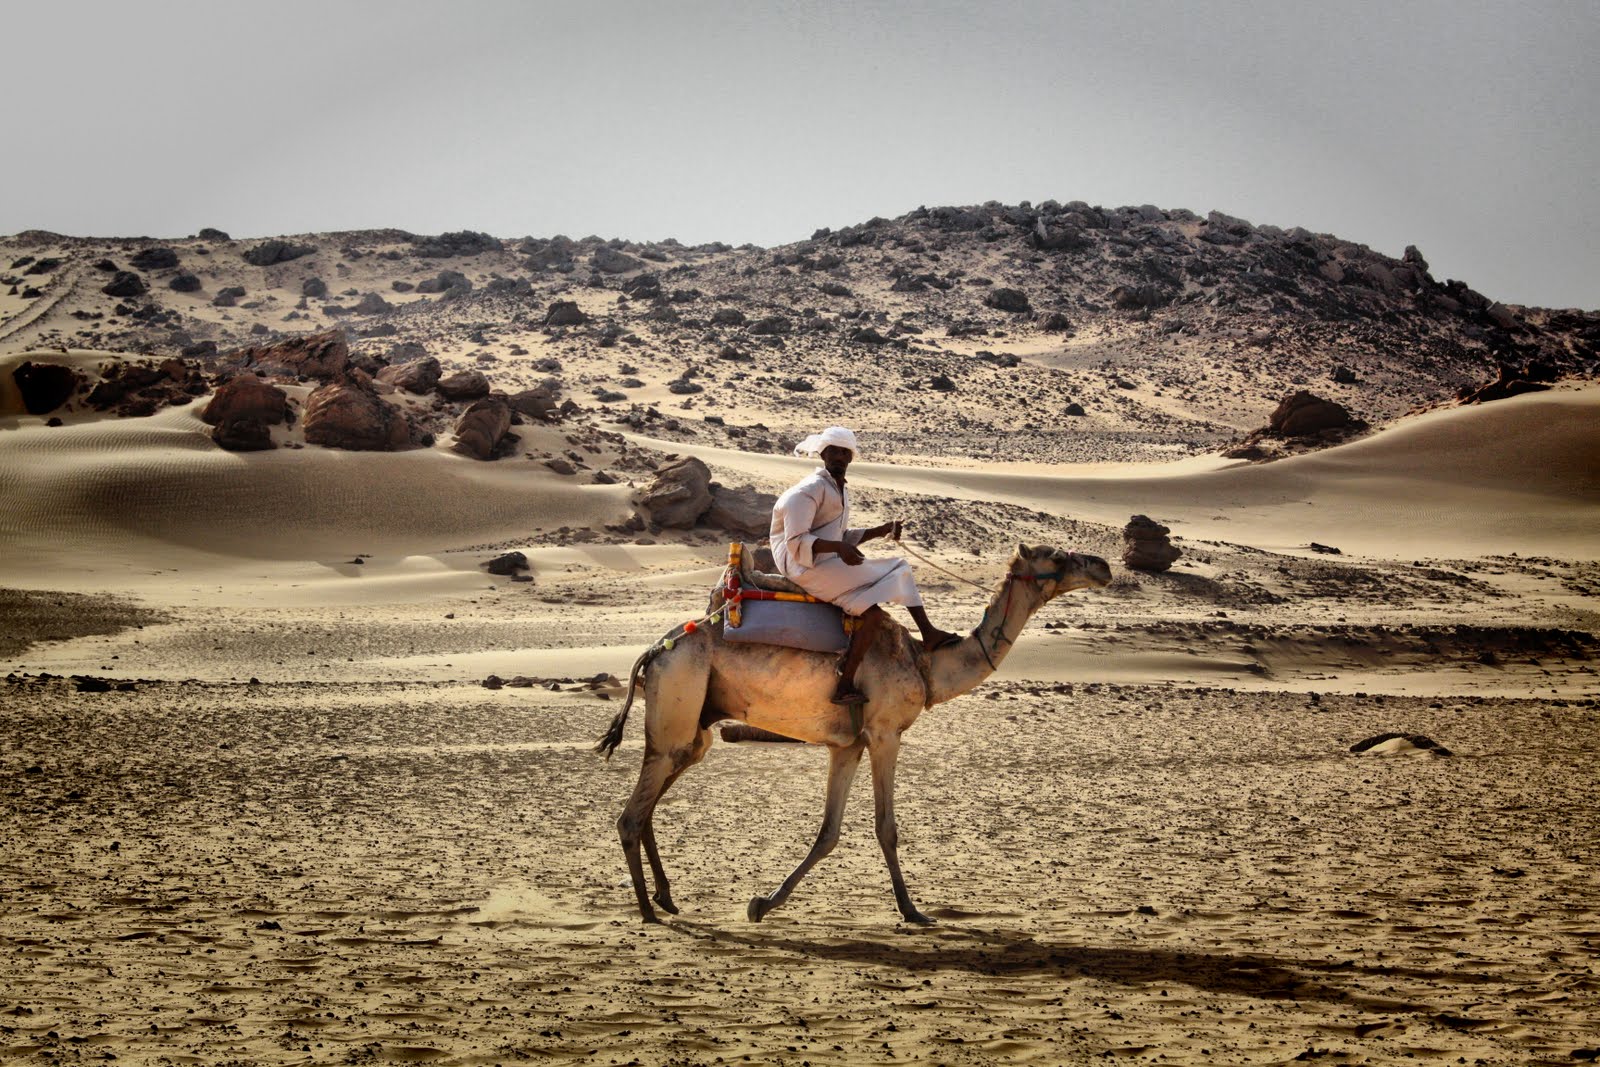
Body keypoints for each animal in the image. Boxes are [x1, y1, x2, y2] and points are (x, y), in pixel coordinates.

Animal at [595, 543, 1113, 924]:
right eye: (1058, 557)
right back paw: (648, 912)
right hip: (680, 695)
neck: (926, 665)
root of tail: (654, 649)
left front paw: (763, 903)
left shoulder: (846, 745)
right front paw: (912, 910)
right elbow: (886, 827)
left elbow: (828, 832)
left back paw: (665, 898)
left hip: (695, 724)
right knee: (631, 814)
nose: (1105, 566)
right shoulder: (884, 733)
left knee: (656, 795)